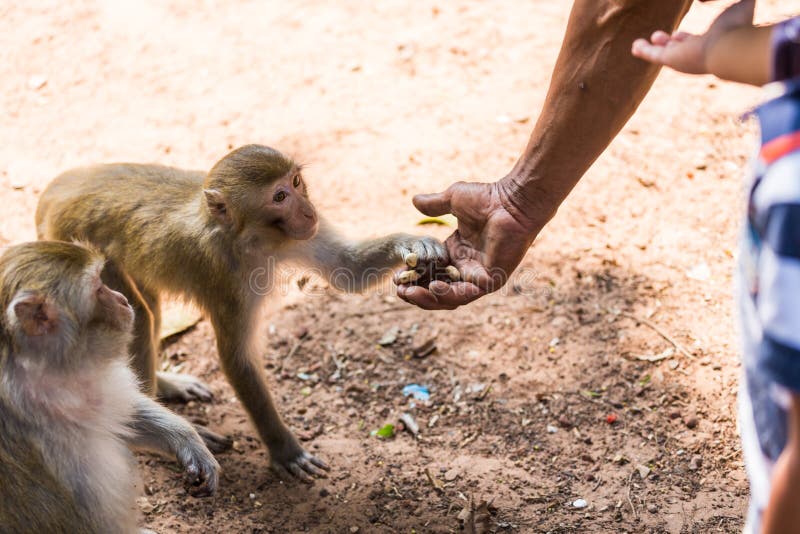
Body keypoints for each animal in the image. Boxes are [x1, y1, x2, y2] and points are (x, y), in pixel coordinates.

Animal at [35, 144, 447, 481]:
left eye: (296, 182)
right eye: (279, 196)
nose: (308, 211)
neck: (252, 238)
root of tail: (55, 191)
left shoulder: (299, 237)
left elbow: (348, 269)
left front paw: (417, 243)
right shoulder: (224, 275)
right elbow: (237, 357)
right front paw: (286, 450)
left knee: (146, 306)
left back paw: (166, 385)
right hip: (79, 250)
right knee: (136, 313)